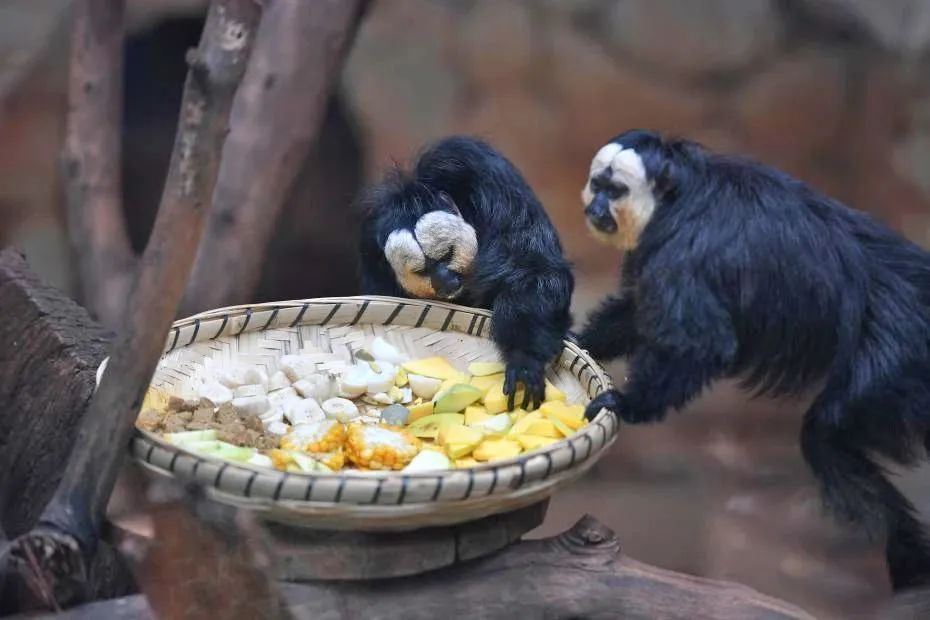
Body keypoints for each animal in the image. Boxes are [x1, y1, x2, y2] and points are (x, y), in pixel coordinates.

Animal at [357, 135, 574, 410]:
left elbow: (532, 268)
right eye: (422, 270)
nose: (444, 281)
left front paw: (524, 359)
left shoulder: (487, 175)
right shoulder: (370, 253)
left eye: (445, 256)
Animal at [577, 128, 930, 591]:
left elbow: (700, 342)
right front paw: (570, 341)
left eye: (614, 190)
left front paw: (626, 403)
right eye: (596, 184)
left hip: (899, 356)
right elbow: (638, 313)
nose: (595, 207)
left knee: (825, 436)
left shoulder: (683, 255)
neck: (678, 197)